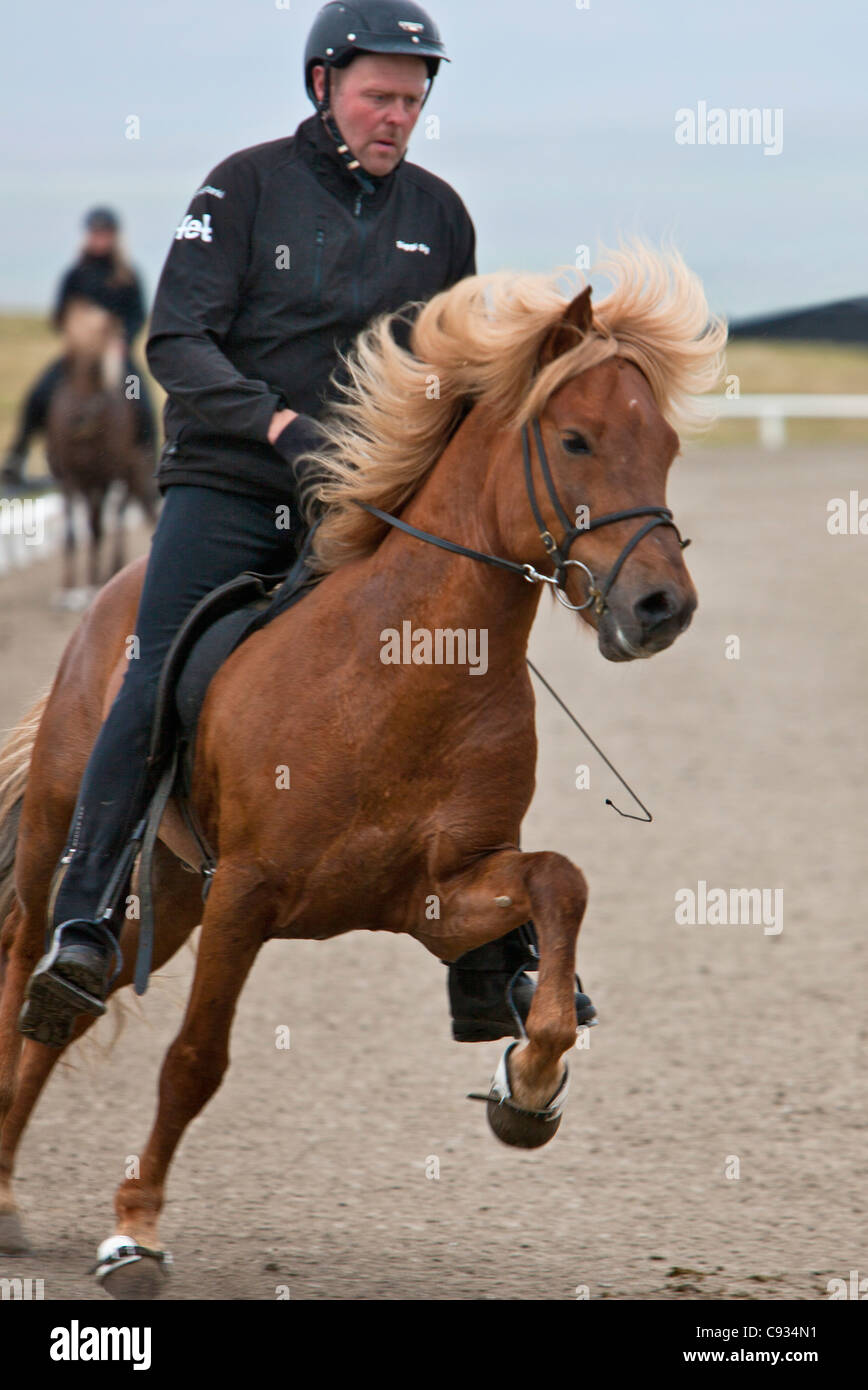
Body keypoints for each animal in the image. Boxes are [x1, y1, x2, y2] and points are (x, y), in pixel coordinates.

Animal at [45, 298, 158, 606]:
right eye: (73, 352)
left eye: (114, 337)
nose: (117, 377)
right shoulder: (70, 477)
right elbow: (73, 532)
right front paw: (70, 587)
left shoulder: (109, 474)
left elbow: (99, 526)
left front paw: (93, 581)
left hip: (127, 473)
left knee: (115, 517)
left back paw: (110, 569)